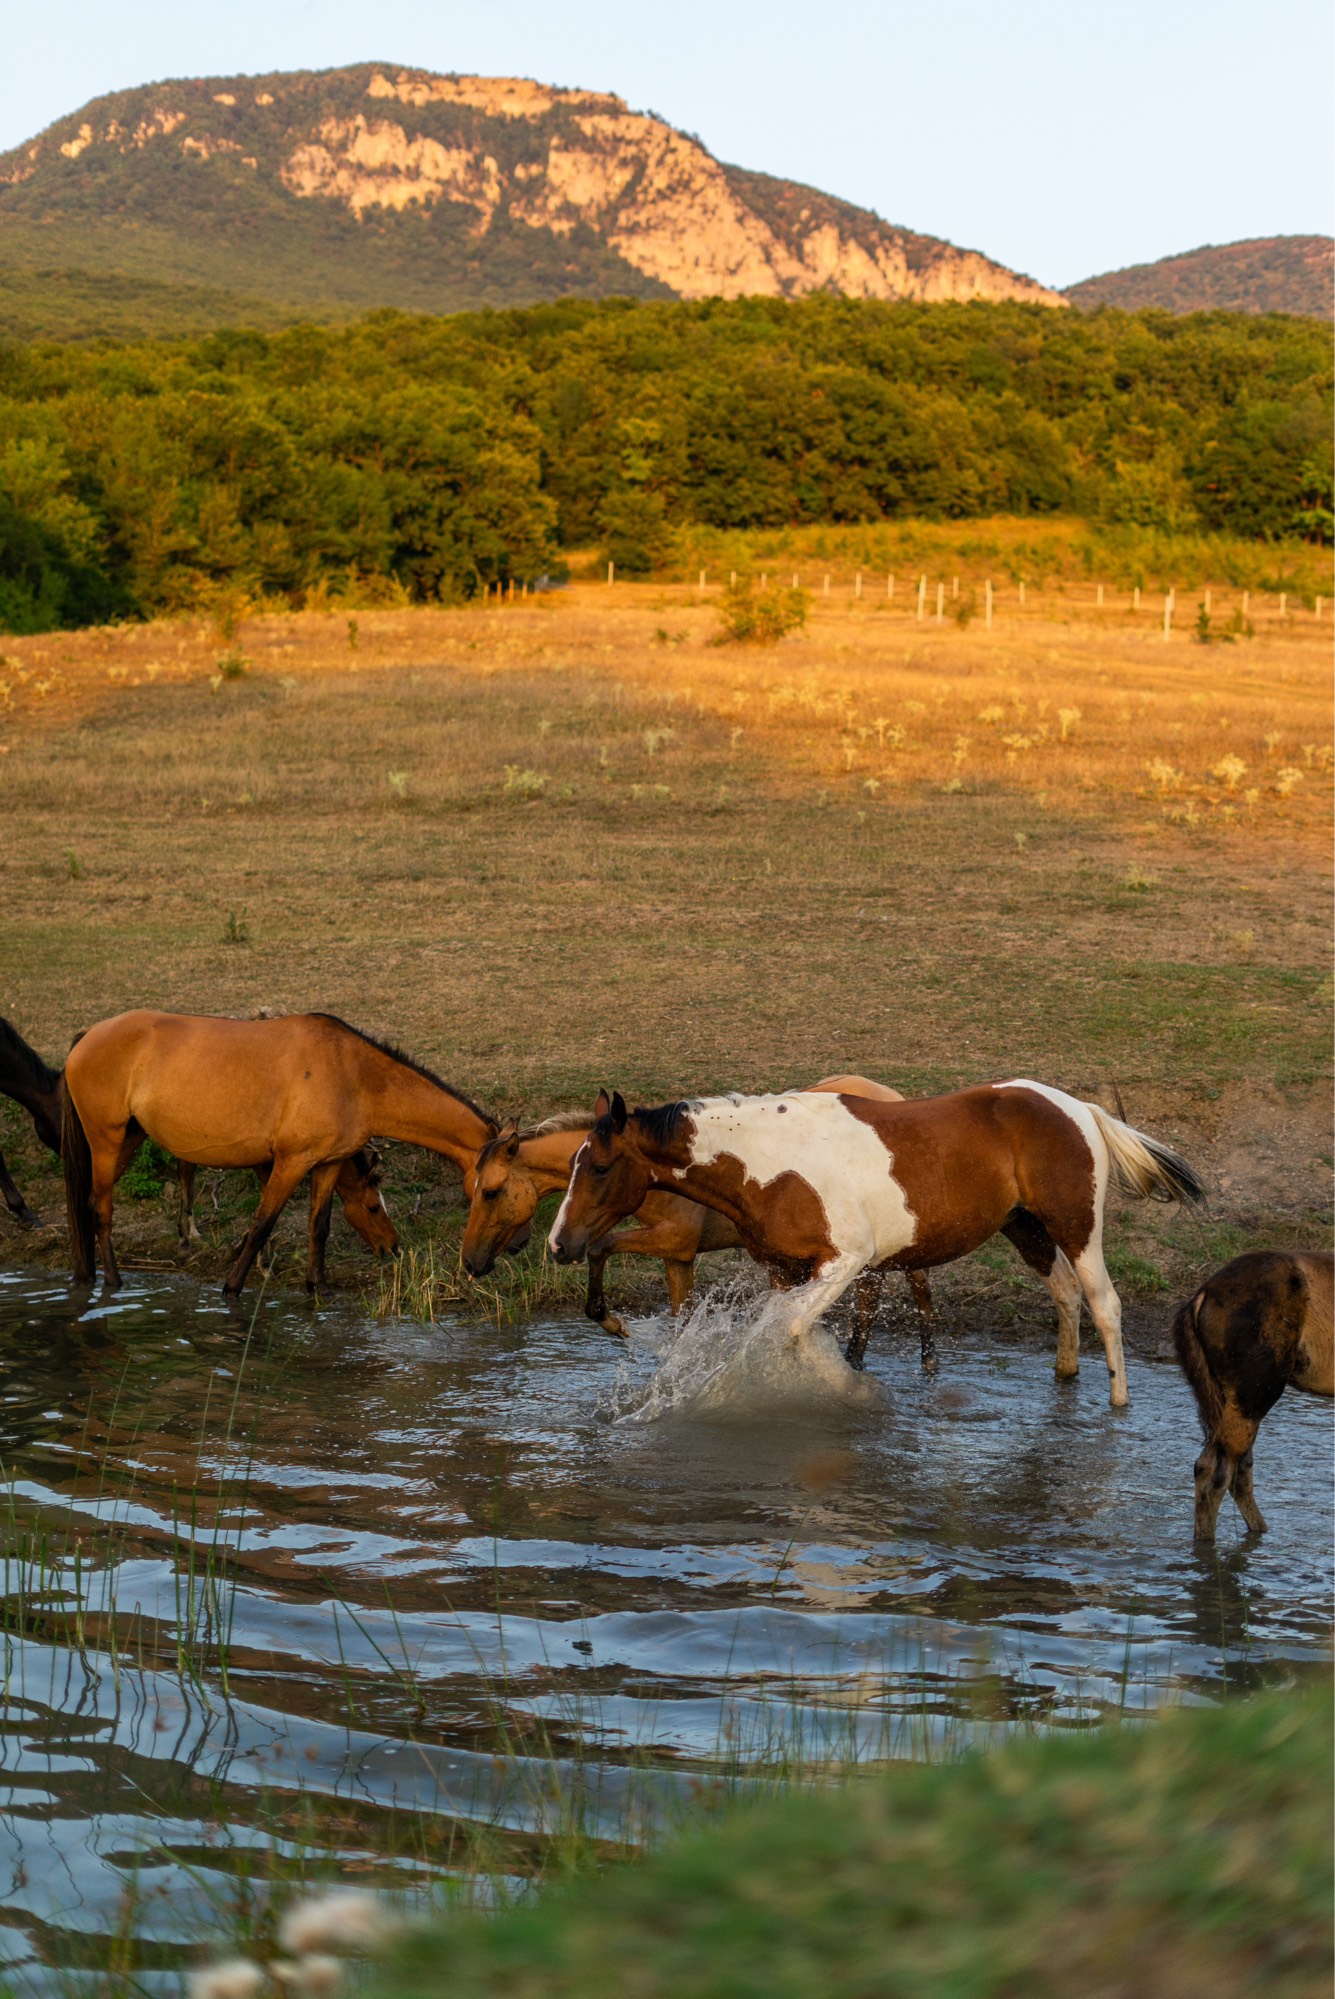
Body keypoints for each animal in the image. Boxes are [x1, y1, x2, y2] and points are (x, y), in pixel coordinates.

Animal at [62, 1015, 495, 1295]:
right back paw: (114, 1282)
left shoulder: (326, 1163)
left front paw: (318, 1286)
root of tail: (87, 1035)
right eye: (374, 1207)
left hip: (128, 1140)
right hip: (106, 1141)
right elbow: (261, 1225)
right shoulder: (291, 1162)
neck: (354, 1076)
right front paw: (233, 1288)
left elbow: (319, 1225)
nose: (393, 1247)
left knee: (90, 1205)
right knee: (101, 1209)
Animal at [463, 1071, 935, 1367]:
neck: (663, 1169)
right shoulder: (678, 1258)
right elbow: (681, 1322)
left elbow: (602, 1245)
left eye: (491, 1192)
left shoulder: (674, 1239)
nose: (471, 1262)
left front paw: (615, 1323)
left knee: (911, 1292)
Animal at [547, 1079, 1207, 1407]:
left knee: (1104, 1304)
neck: (770, 1162)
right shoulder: (784, 1268)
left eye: (599, 1167)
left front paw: (848, 1389)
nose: (557, 1244)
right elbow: (790, 1328)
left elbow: (791, 1331)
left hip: (1076, 1228)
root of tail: (1079, 1108)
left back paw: (1118, 1402)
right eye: (574, 1163)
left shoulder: (846, 1262)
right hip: (1024, 1229)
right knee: (1066, 1296)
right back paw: (1065, 1375)